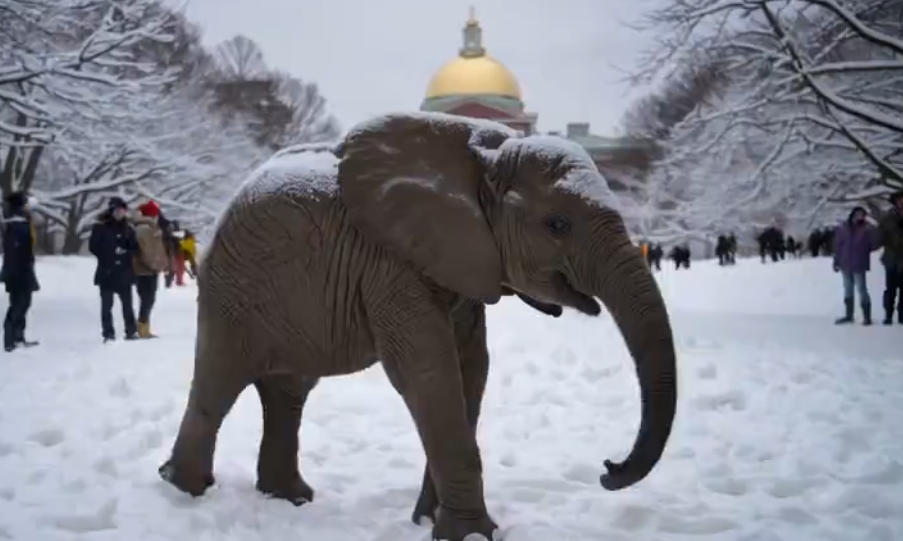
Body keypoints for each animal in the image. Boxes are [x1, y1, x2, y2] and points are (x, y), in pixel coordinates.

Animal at [158, 112, 678, 541]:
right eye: (557, 225)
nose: (607, 467)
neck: (486, 153)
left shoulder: (460, 267)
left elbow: (470, 371)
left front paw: (429, 523)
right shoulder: (390, 263)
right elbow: (427, 372)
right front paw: (470, 536)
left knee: (288, 392)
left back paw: (289, 499)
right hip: (231, 289)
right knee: (219, 384)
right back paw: (185, 493)